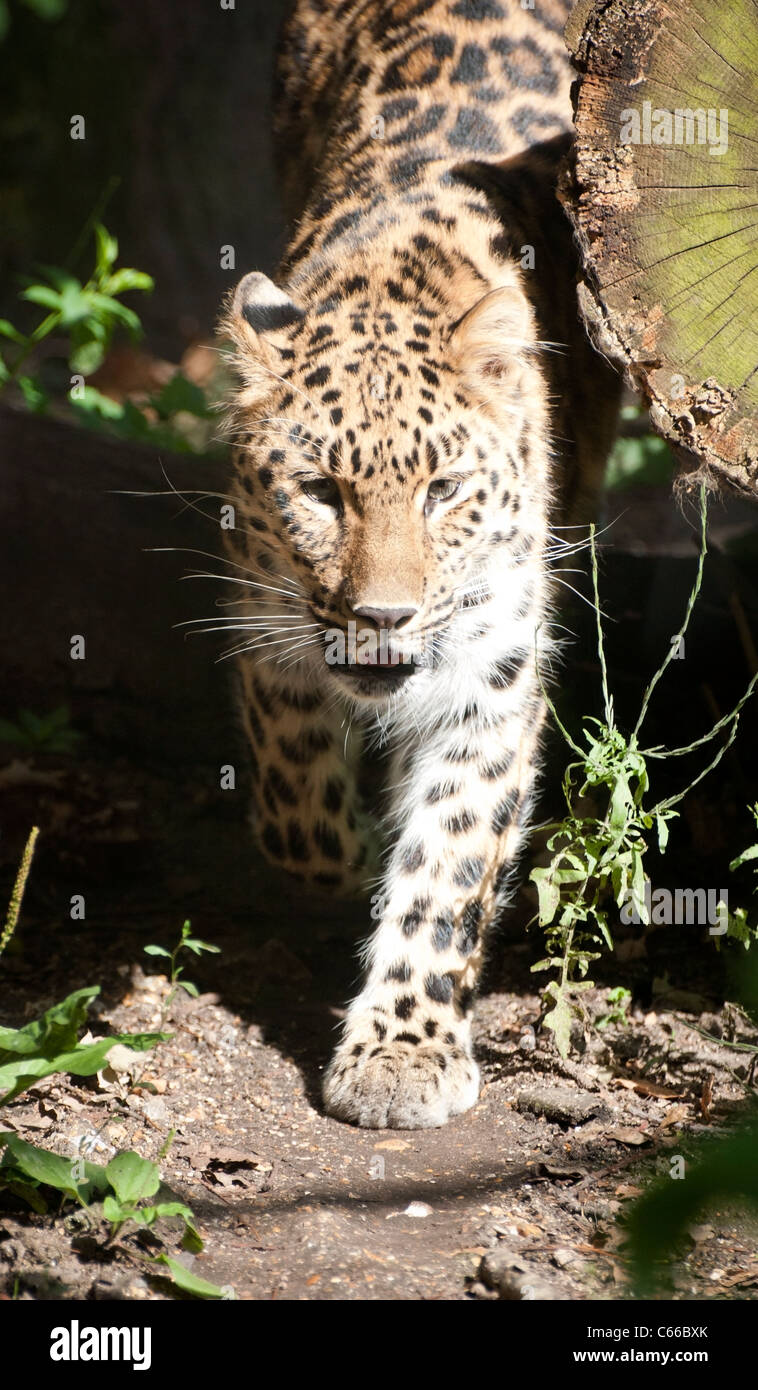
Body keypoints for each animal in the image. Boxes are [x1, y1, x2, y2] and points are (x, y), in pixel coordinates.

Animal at [217, 0, 620, 1130]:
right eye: (319, 492)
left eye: (442, 491)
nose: (383, 618)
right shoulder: (260, 604)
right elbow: (293, 806)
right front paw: (347, 850)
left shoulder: (493, 668)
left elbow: (448, 862)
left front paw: (402, 1052)